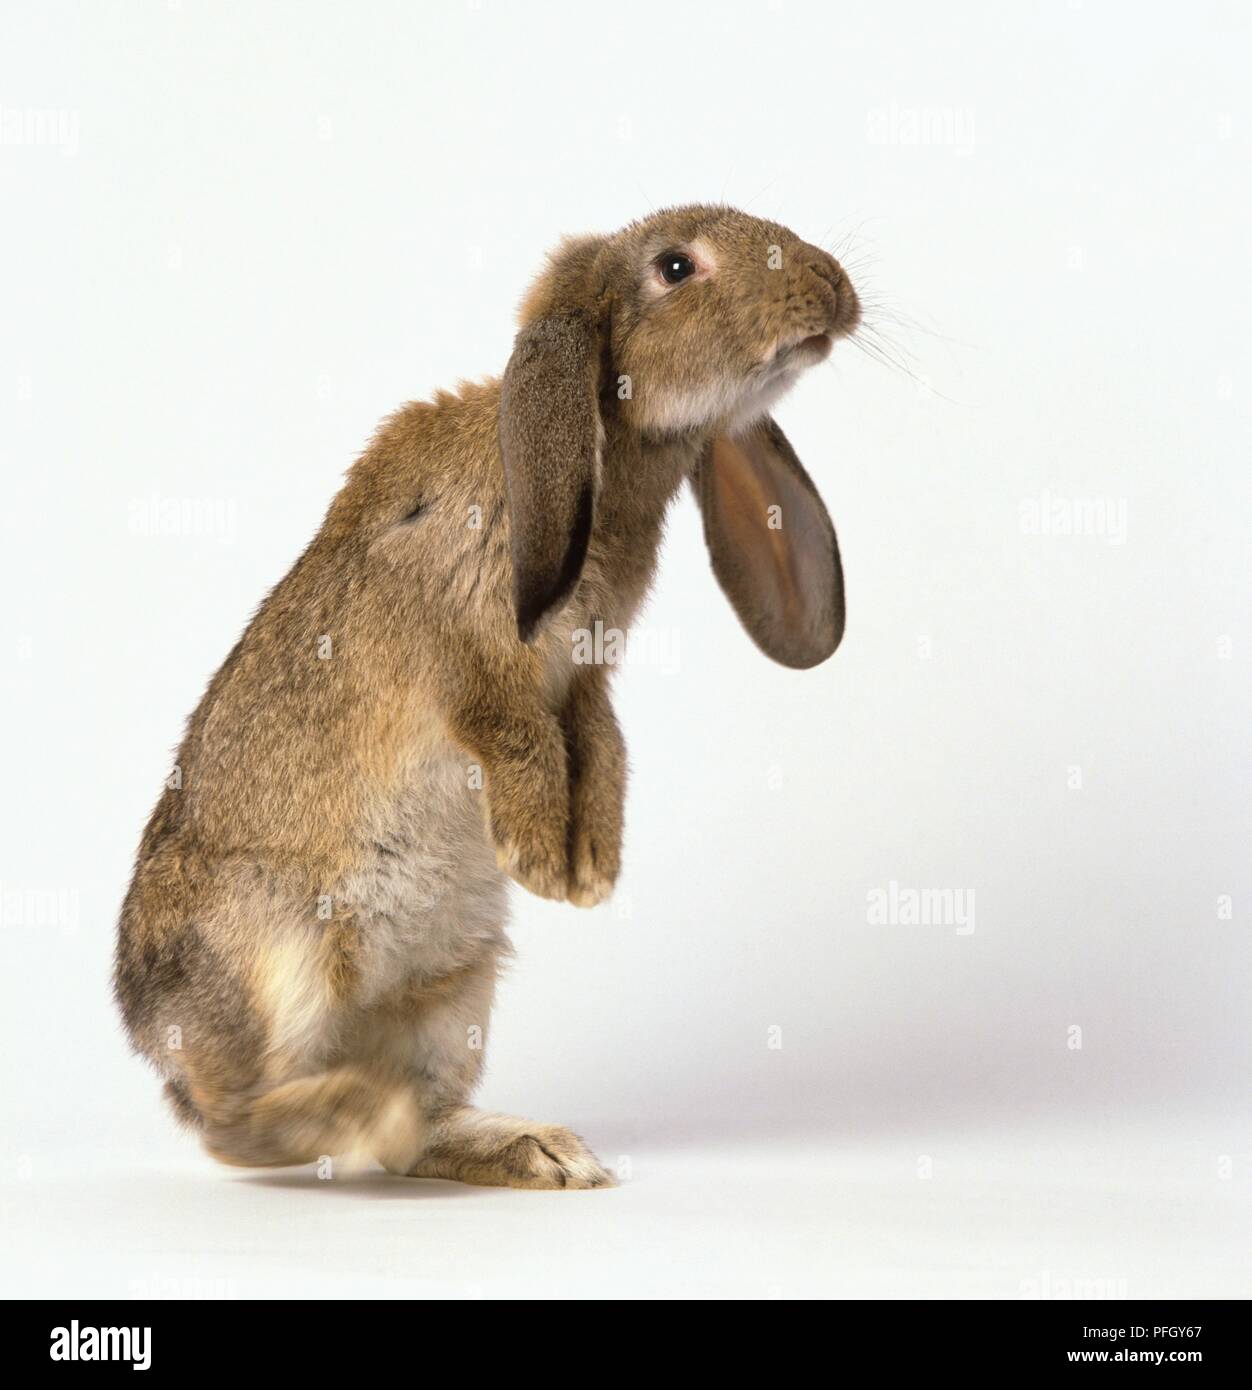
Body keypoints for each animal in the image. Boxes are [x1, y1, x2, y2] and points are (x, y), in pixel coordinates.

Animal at [113, 204, 860, 1188]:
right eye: (674, 266)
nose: (834, 288)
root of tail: (151, 1035)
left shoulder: (587, 674)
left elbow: (602, 743)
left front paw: (592, 870)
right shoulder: (466, 658)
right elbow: (517, 735)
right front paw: (543, 860)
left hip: (454, 991)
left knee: (405, 1120)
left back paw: (534, 1151)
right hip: (282, 953)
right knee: (238, 1125)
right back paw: (370, 1113)